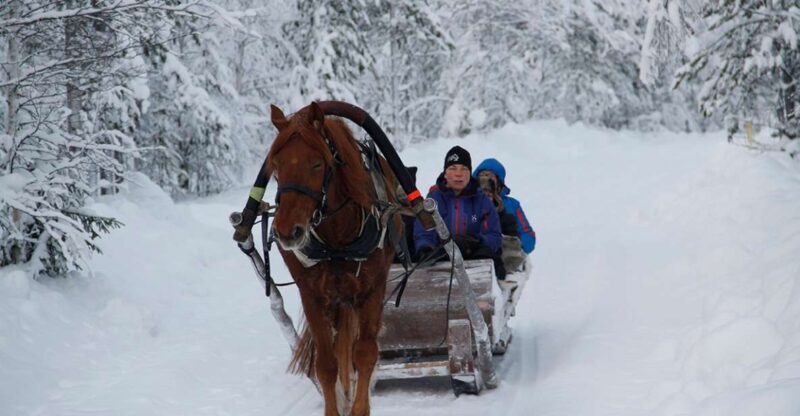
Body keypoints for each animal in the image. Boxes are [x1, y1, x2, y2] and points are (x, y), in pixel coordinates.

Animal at [265, 102, 402, 416]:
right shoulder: (312, 295)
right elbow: (326, 365)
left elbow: (364, 353)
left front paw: (359, 408)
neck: (337, 239)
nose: (287, 231)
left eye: (317, 164)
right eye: (276, 166)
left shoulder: (371, 290)